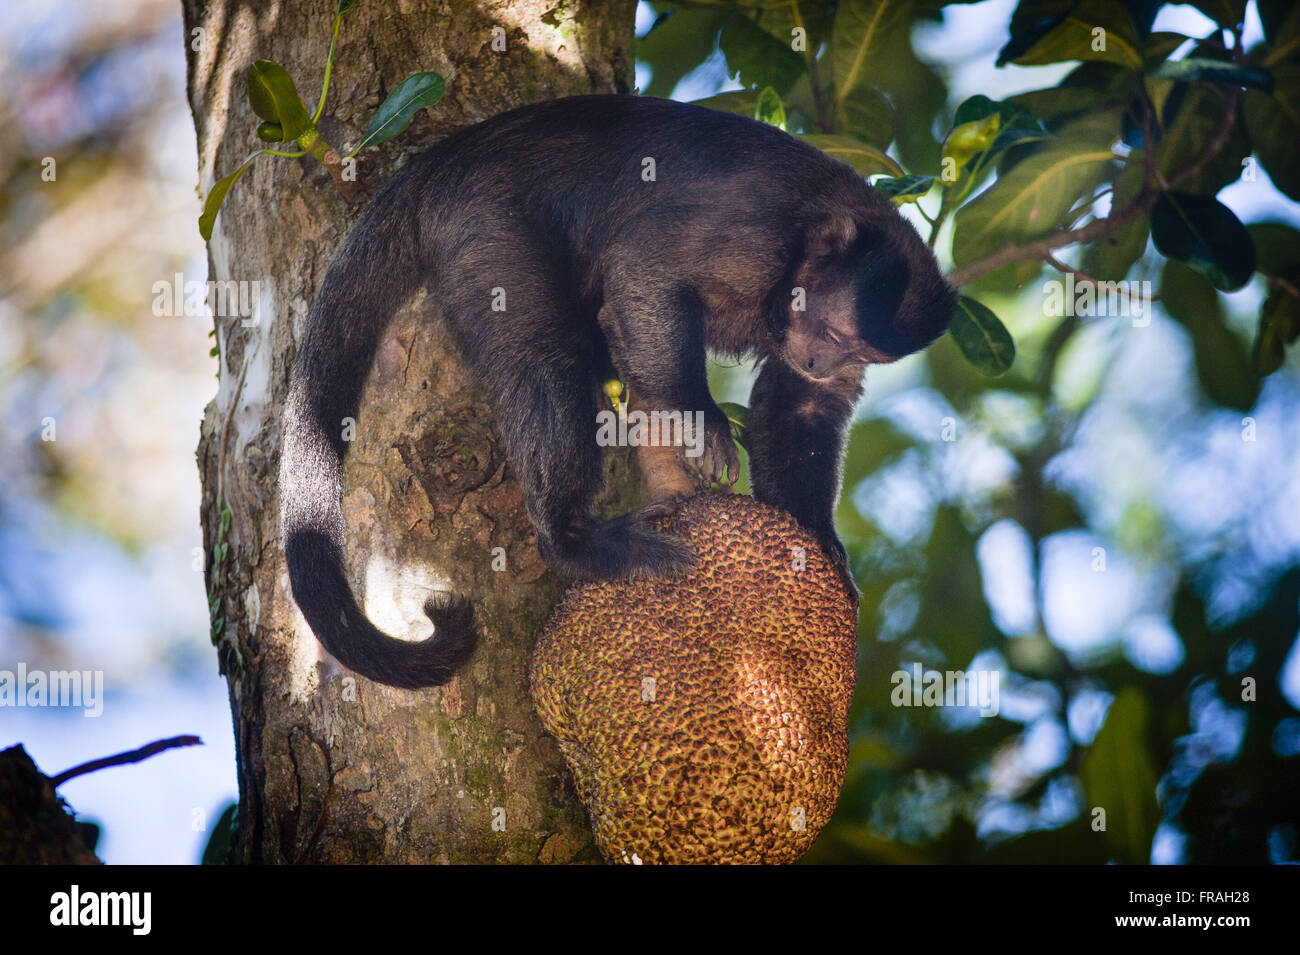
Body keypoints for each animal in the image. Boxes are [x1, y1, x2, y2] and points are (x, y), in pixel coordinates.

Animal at [279, 94, 956, 689]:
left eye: (859, 353)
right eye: (833, 332)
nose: (821, 359)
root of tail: (447, 156)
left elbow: (805, 405)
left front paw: (816, 538)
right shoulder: (757, 236)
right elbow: (646, 264)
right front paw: (700, 418)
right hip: (487, 222)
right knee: (547, 358)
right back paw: (573, 542)